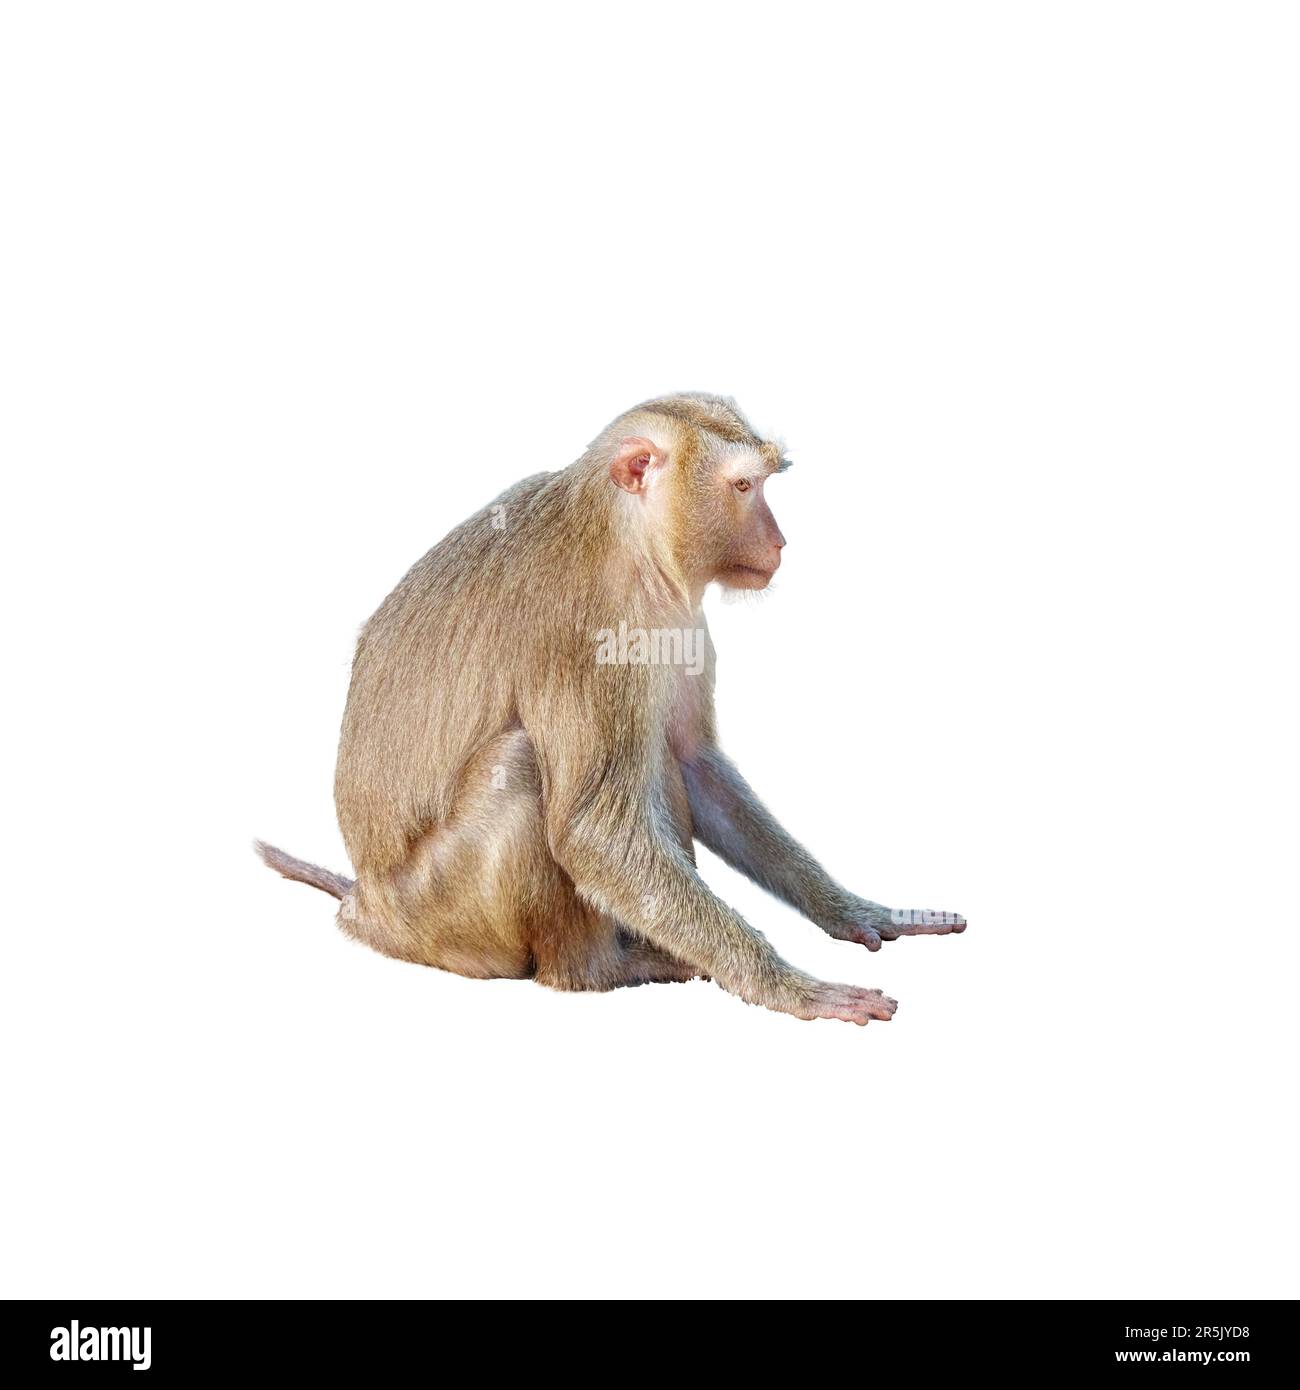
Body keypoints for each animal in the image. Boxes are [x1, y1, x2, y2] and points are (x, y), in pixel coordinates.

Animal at [257, 393, 965, 1024]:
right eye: (743, 486)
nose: (781, 542)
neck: (625, 536)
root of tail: (369, 905)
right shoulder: (594, 633)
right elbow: (593, 832)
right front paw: (792, 988)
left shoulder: (679, 617)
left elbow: (696, 764)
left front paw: (851, 911)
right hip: (443, 917)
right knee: (524, 768)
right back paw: (600, 969)